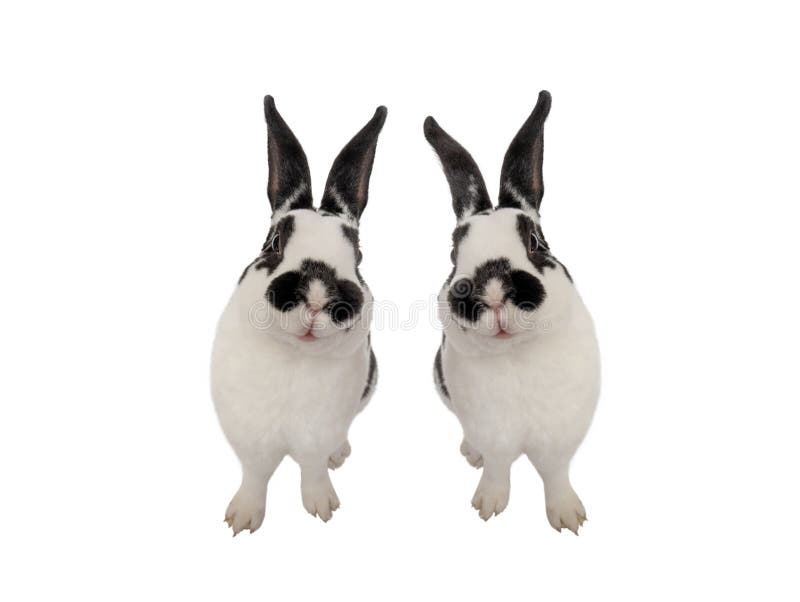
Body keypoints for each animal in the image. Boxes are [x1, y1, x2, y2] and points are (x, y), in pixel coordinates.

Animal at [211, 97, 386, 534]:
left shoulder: (318, 432)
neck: (295, 355)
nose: (318, 297)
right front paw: (243, 517)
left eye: (358, 256)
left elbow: (313, 468)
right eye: (273, 244)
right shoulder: (251, 436)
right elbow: (255, 473)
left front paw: (322, 506)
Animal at [424, 91, 600, 534]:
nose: (492, 292)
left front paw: (568, 516)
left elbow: (555, 472)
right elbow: (497, 467)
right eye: (454, 252)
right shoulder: (492, 431)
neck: (515, 353)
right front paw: (488, 504)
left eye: (536, 242)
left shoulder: (559, 434)